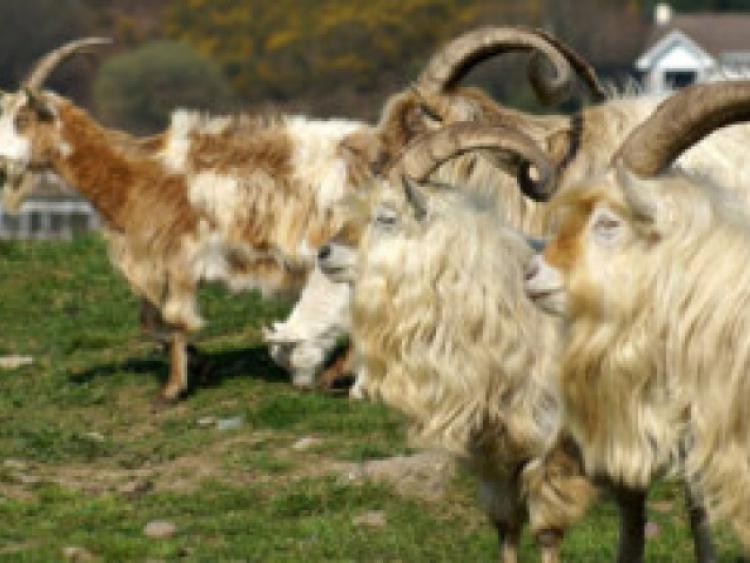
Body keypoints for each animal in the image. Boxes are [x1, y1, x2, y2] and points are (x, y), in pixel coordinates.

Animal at [0, 38, 376, 404]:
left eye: (22, 119)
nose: (2, 162)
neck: (136, 175)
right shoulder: (149, 263)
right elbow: (150, 323)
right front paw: (201, 363)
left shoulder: (179, 258)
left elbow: (175, 320)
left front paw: (172, 389)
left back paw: (339, 376)